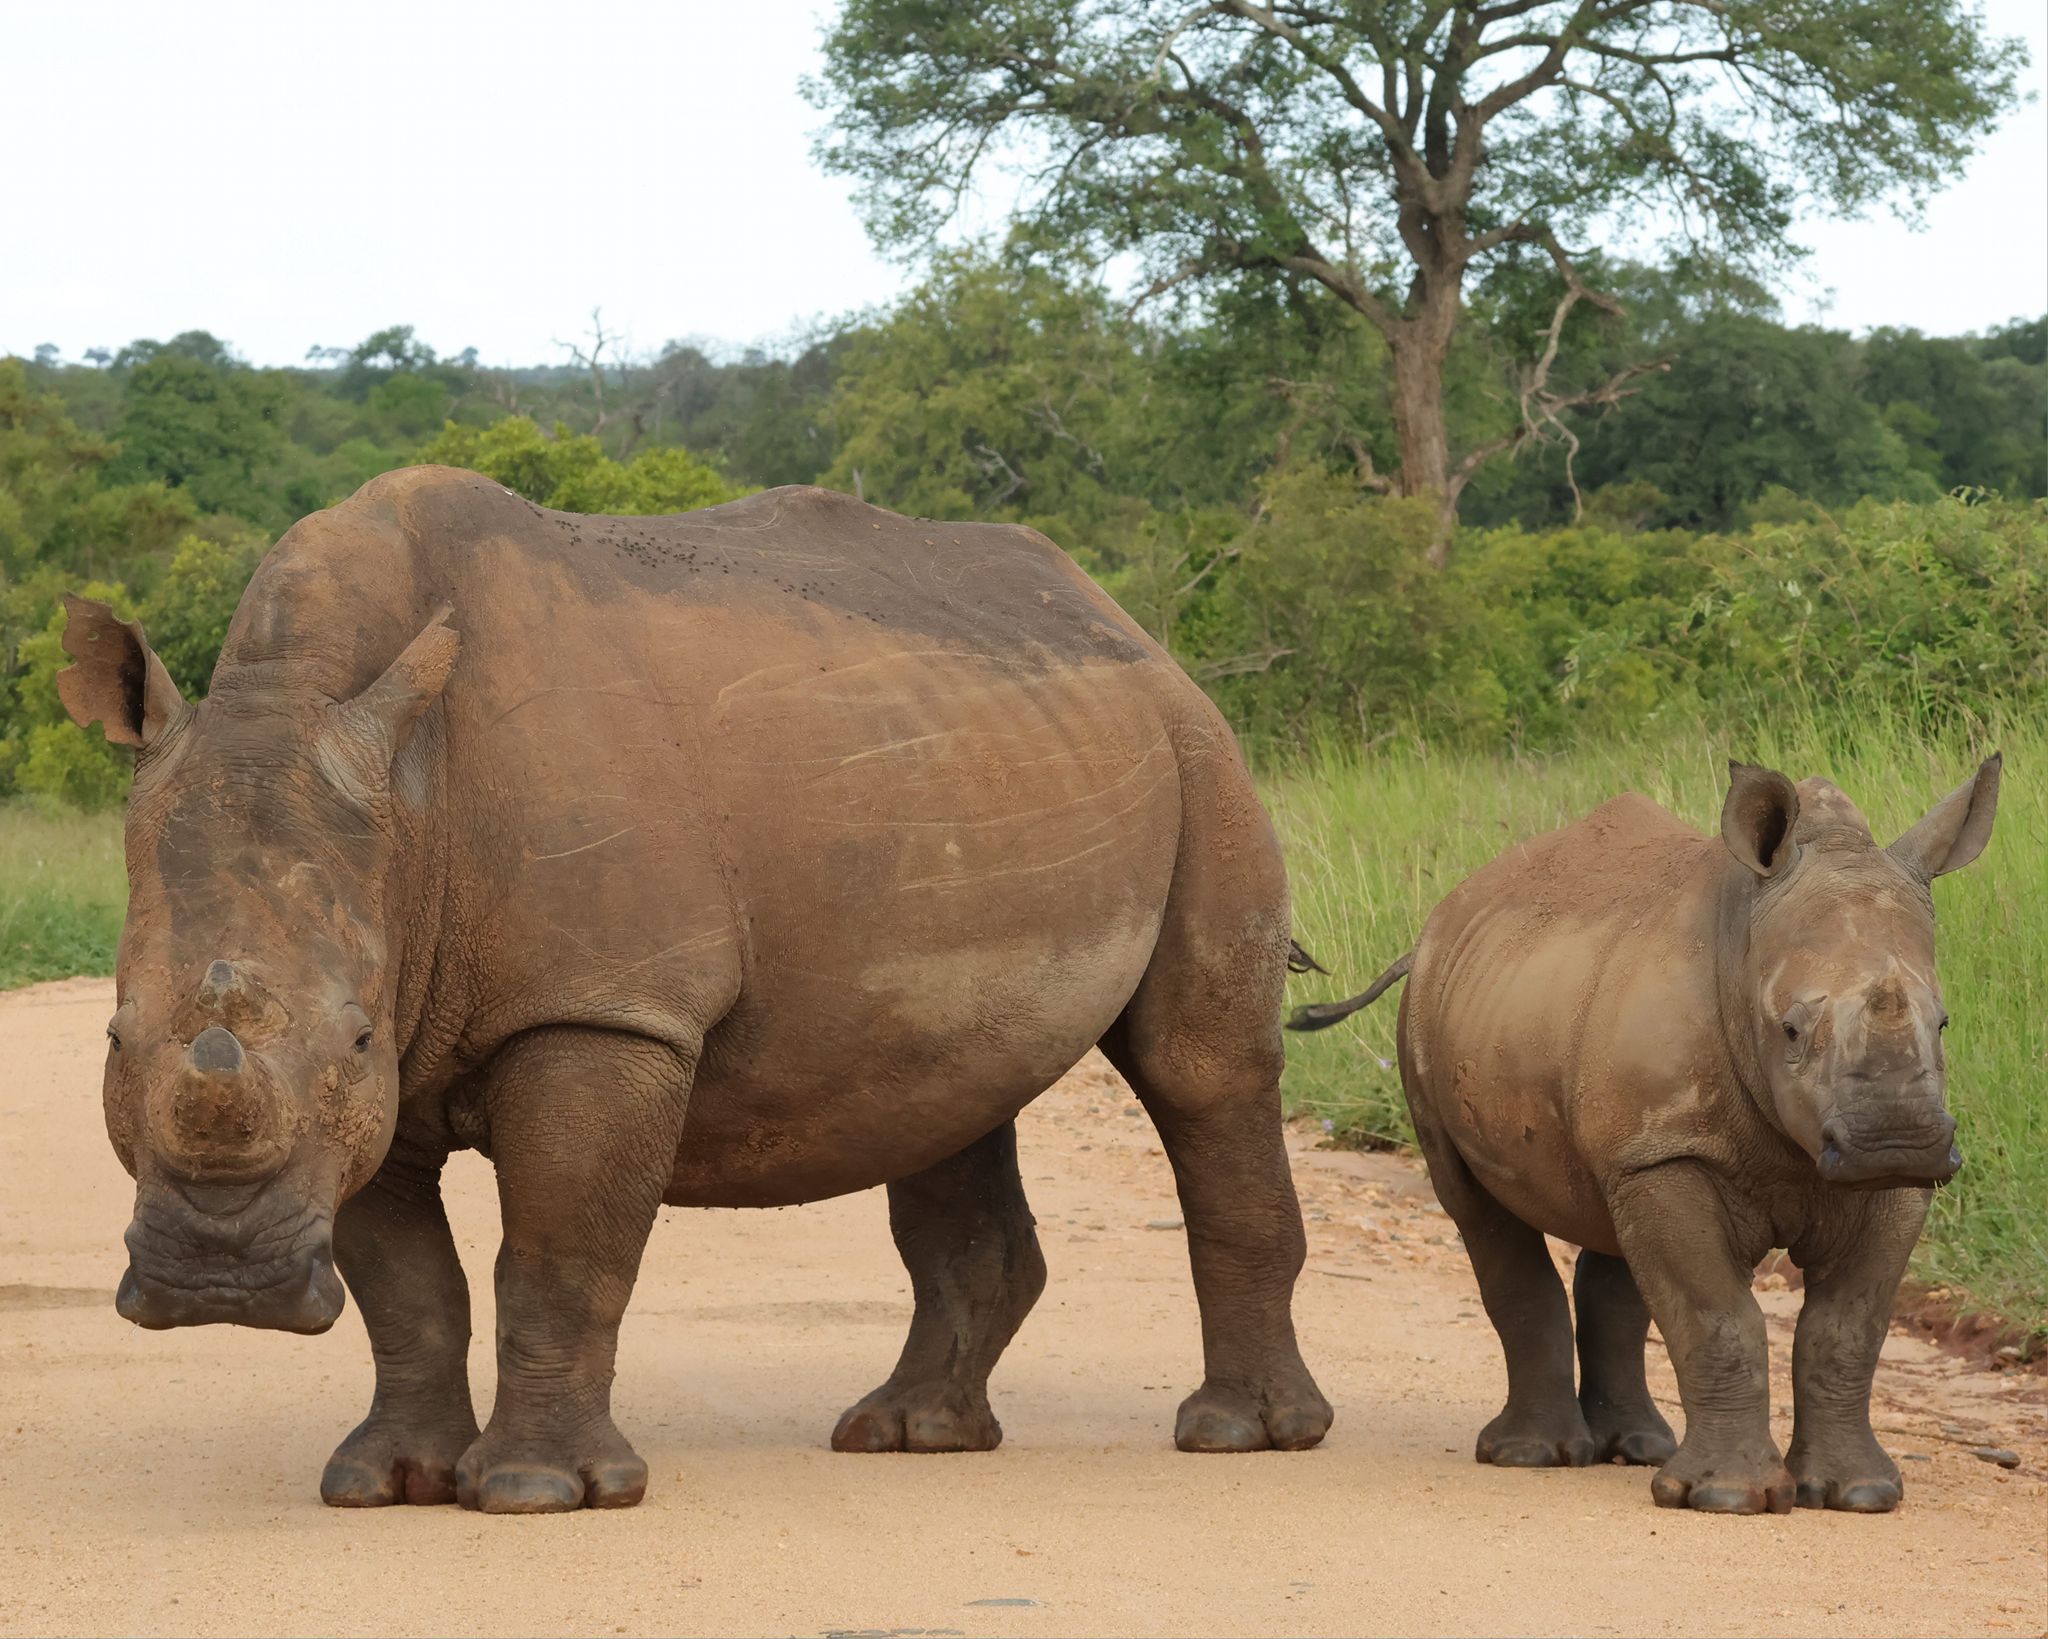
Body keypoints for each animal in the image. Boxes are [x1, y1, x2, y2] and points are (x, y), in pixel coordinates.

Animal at [58, 466, 1331, 1513]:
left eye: (356, 1037)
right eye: (114, 1040)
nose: (220, 1278)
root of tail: (1116, 619)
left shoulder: (605, 1006)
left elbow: (559, 1250)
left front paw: (537, 1492)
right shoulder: (391, 1056)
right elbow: (403, 1277)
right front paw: (388, 1482)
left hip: (1198, 753)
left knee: (1200, 1069)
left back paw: (1239, 1436)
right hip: (990, 748)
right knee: (950, 1090)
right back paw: (909, 1433)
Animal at [1290, 758, 2000, 1514]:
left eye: (1944, 1022)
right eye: (1789, 1030)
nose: (1897, 1140)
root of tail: (1439, 922)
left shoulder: (1886, 1184)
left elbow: (1847, 1329)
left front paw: (1859, 1494)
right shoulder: (1670, 1150)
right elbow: (1718, 1315)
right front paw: (1729, 1499)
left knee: (1616, 1236)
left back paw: (1637, 1449)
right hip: (1429, 1013)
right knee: (1482, 1215)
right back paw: (1533, 1455)